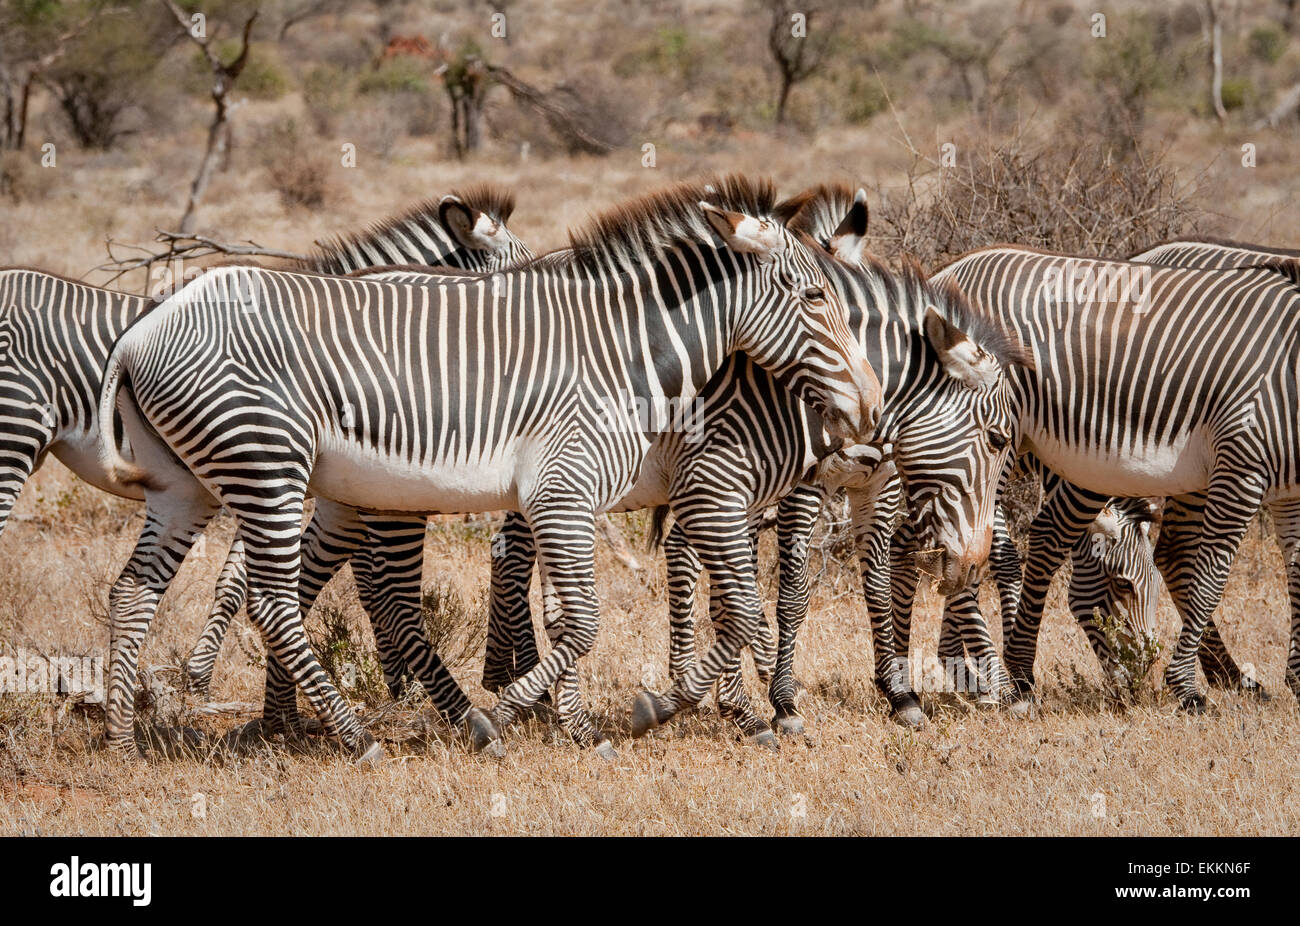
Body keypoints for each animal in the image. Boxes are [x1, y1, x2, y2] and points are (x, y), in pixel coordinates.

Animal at [94, 175, 883, 761]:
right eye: (815, 297)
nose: (873, 406)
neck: (622, 354)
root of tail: (141, 331)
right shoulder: (571, 490)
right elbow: (588, 620)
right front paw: (517, 719)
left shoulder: (573, 499)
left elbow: (583, 612)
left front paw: (566, 720)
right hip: (272, 464)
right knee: (273, 598)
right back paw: (353, 735)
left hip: (194, 484)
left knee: (135, 588)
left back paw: (125, 738)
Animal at [479, 185, 1031, 736]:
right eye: (999, 439)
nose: (973, 564)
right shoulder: (794, 487)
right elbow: (790, 593)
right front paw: (780, 701)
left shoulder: (878, 484)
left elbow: (873, 581)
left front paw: (899, 694)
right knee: (518, 560)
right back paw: (532, 693)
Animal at [925, 244, 1300, 711]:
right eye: (1122, 585)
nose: (1142, 672)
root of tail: (946, 273)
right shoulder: (1243, 463)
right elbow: (1212, 576)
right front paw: (1185, 688)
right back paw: (1006, 676)